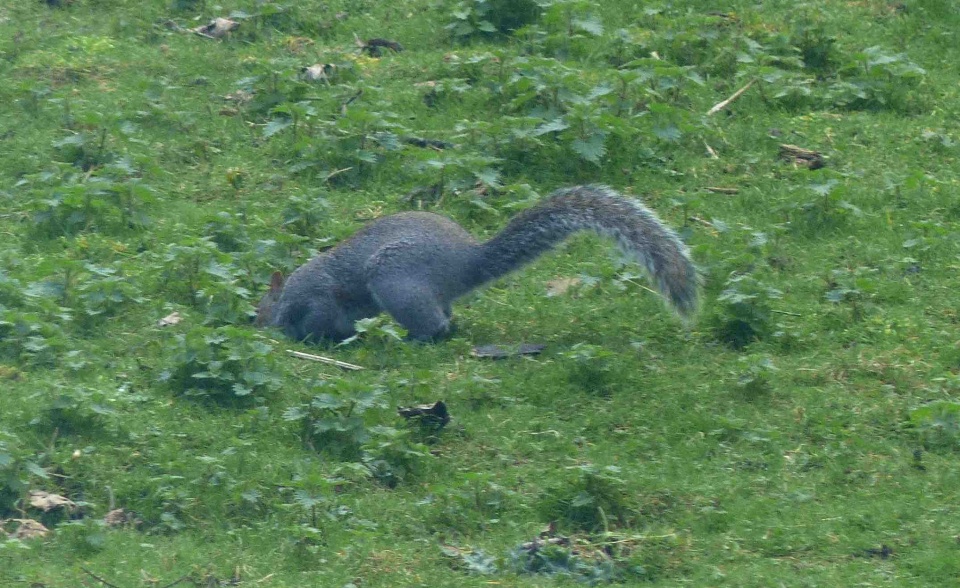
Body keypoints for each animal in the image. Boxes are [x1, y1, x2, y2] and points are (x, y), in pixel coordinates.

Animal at [256, 185, 699, 342]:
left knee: (436, 325)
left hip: (395, 280)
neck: (289, 294)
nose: (258, 325)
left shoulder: (317, 298)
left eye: (258, 310)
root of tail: (468, 260)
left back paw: (417, 339)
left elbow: (322, 322)